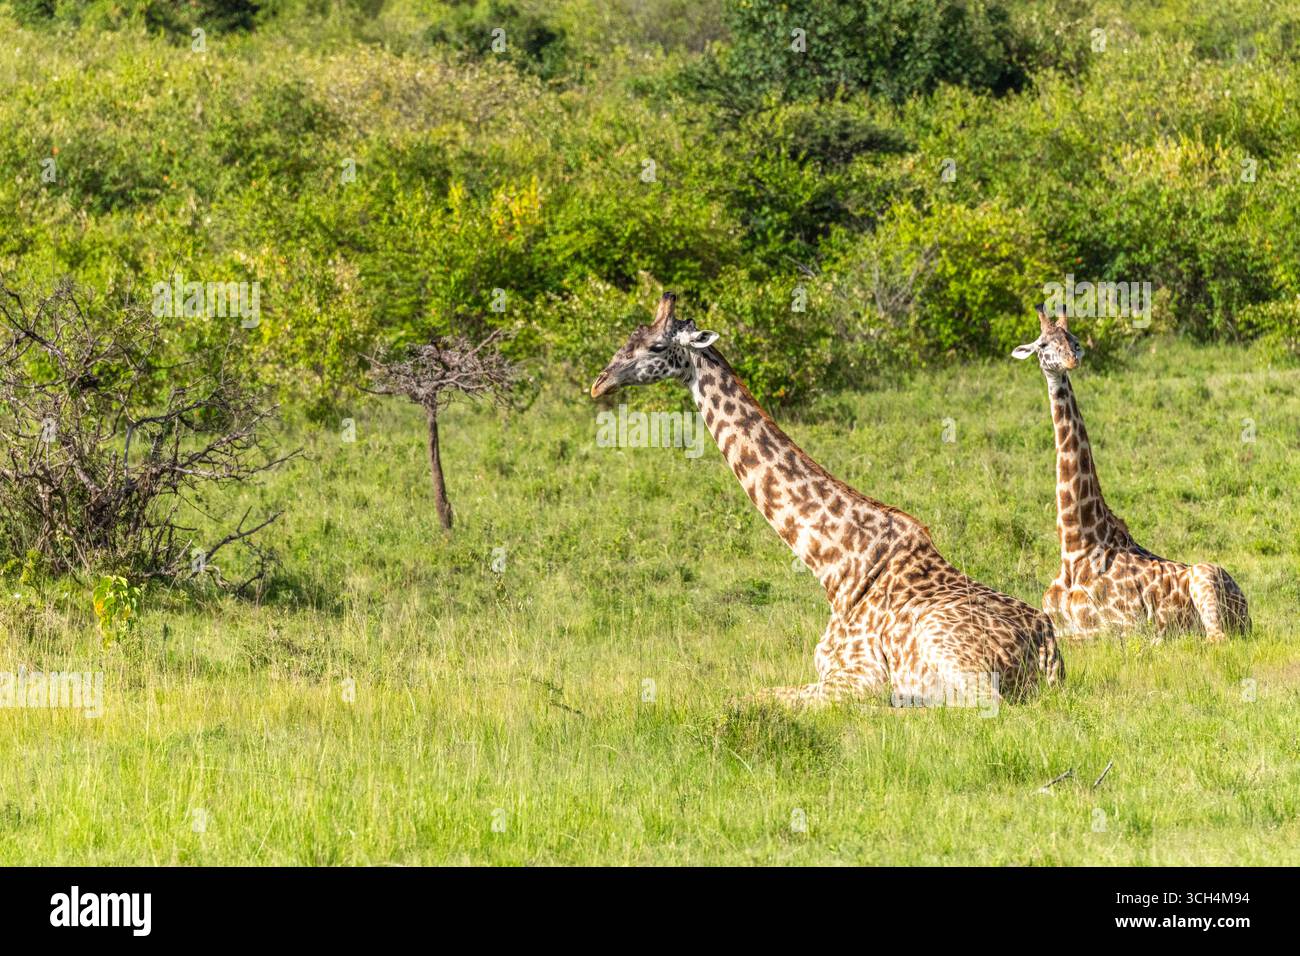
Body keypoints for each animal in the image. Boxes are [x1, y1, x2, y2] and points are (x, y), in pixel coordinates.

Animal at [590, 292, 1063, 706]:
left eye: (655, 345)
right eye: (628, 337)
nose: (599, 384)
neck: (836, 566)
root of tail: (1049, 652)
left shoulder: (855, 673)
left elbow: (749, 699)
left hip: (950, 653)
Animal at [1012, 305, 1251, 641]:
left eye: (1073, 340)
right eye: (1043, 344)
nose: (1072, 360)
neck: (1075, 546)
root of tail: (1247, 608)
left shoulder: (1118, 625)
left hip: (1206, 578)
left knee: (1216, 638)